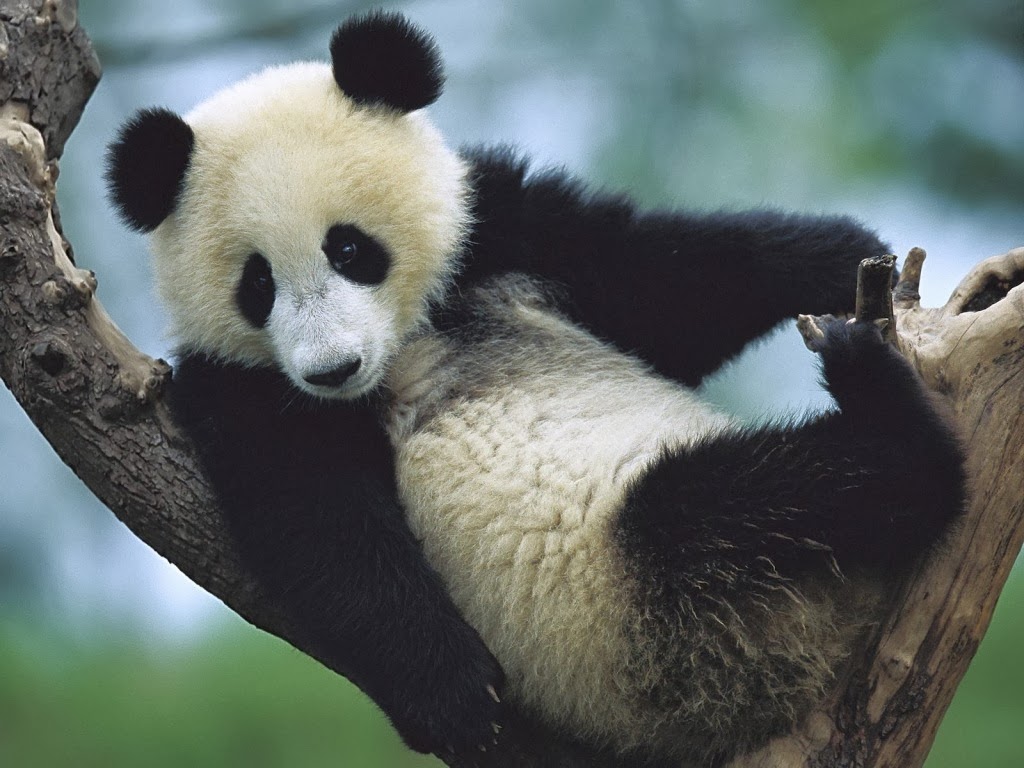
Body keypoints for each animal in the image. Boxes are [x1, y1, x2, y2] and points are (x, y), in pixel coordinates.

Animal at [105, 11, 966, 766]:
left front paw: (841, 252)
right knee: (739, 505)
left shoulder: (500, 232)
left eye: (349, 249)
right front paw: (452, 694)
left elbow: (662, 282)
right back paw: (879, 407)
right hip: (664, 619)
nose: (331, 369)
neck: (408, 342)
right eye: (258, 284)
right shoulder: (243, 388)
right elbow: (319, 520)